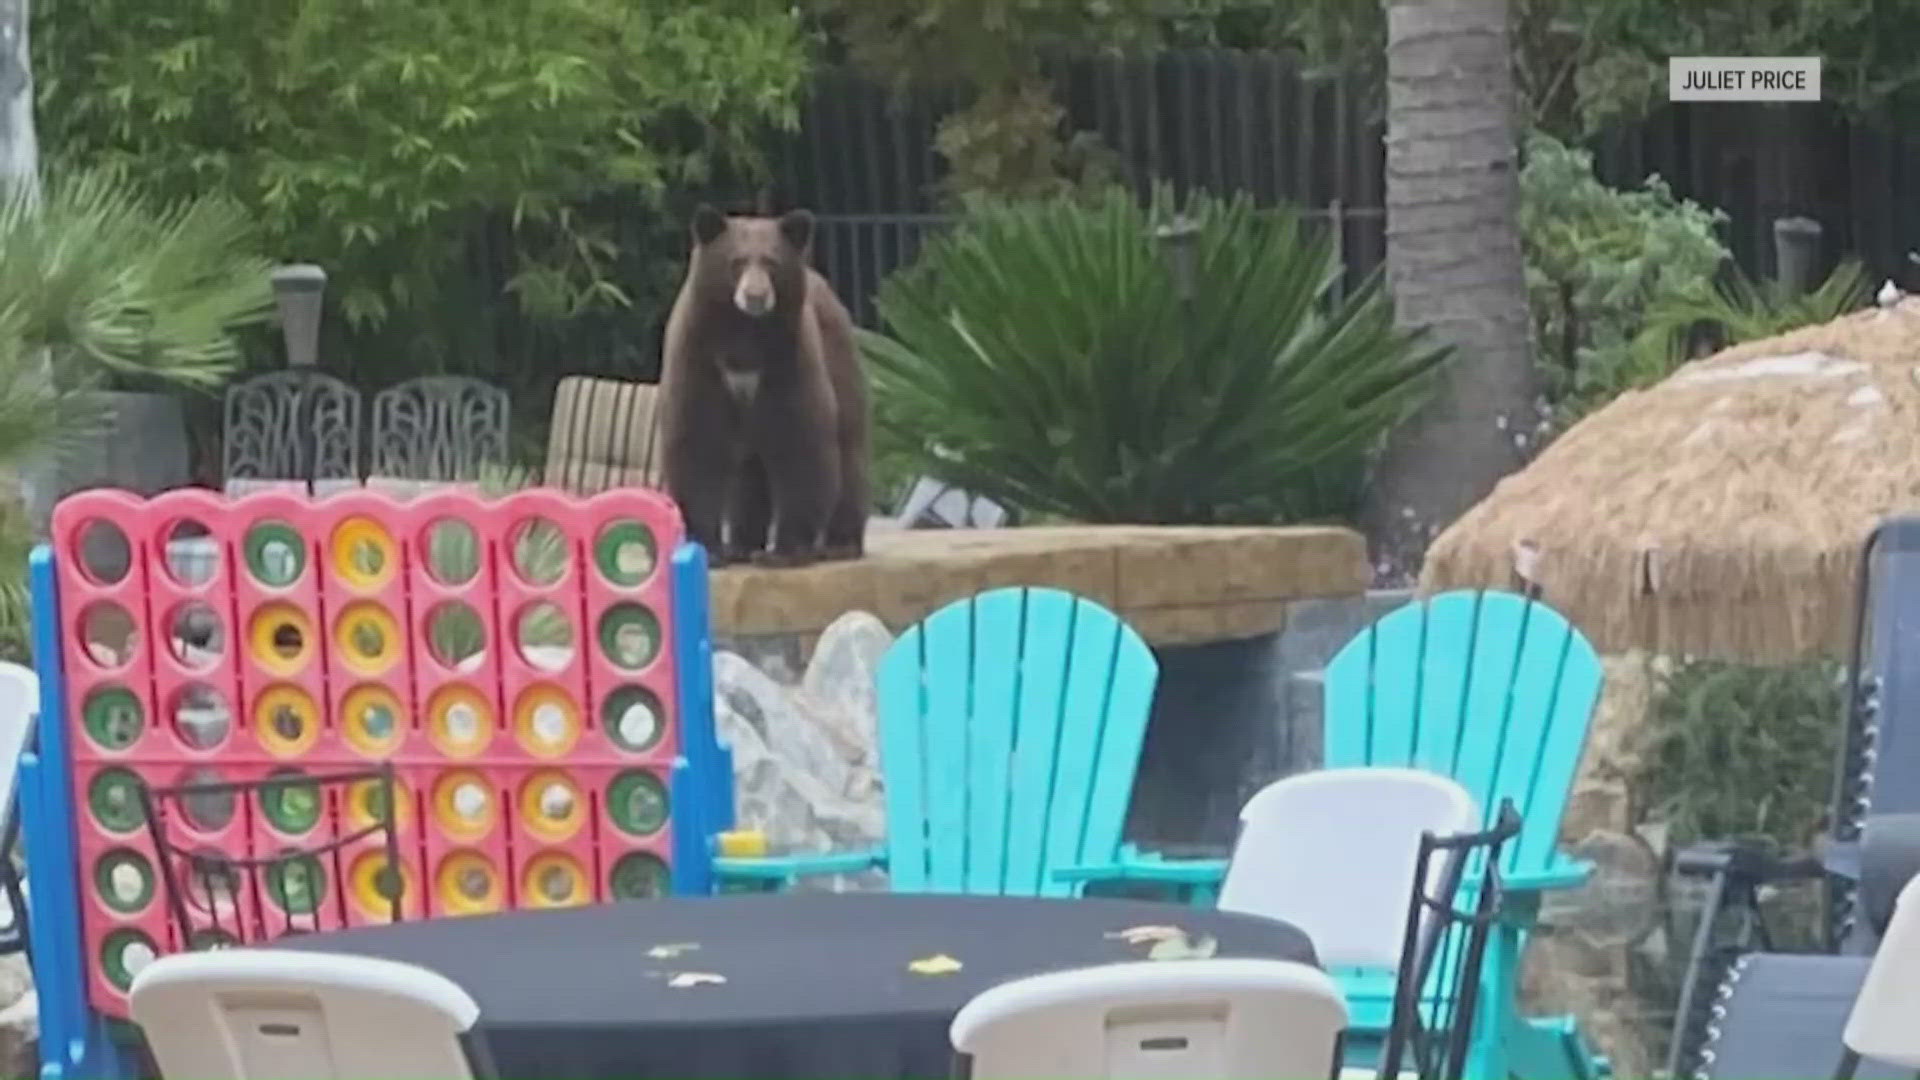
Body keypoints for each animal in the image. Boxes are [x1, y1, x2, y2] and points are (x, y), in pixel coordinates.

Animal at [658, 204, 870, 568]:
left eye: (771, 262)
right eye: (737, 262)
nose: (754, 296)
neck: (746, 339)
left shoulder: (787, 361)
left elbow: (800, 440)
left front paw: (786, 550)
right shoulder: (699, 359)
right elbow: (698, 442)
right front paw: (710, 548)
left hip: (841, 365)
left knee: (848, 453)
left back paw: (840, 543)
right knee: (749, 474)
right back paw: (741, 545)